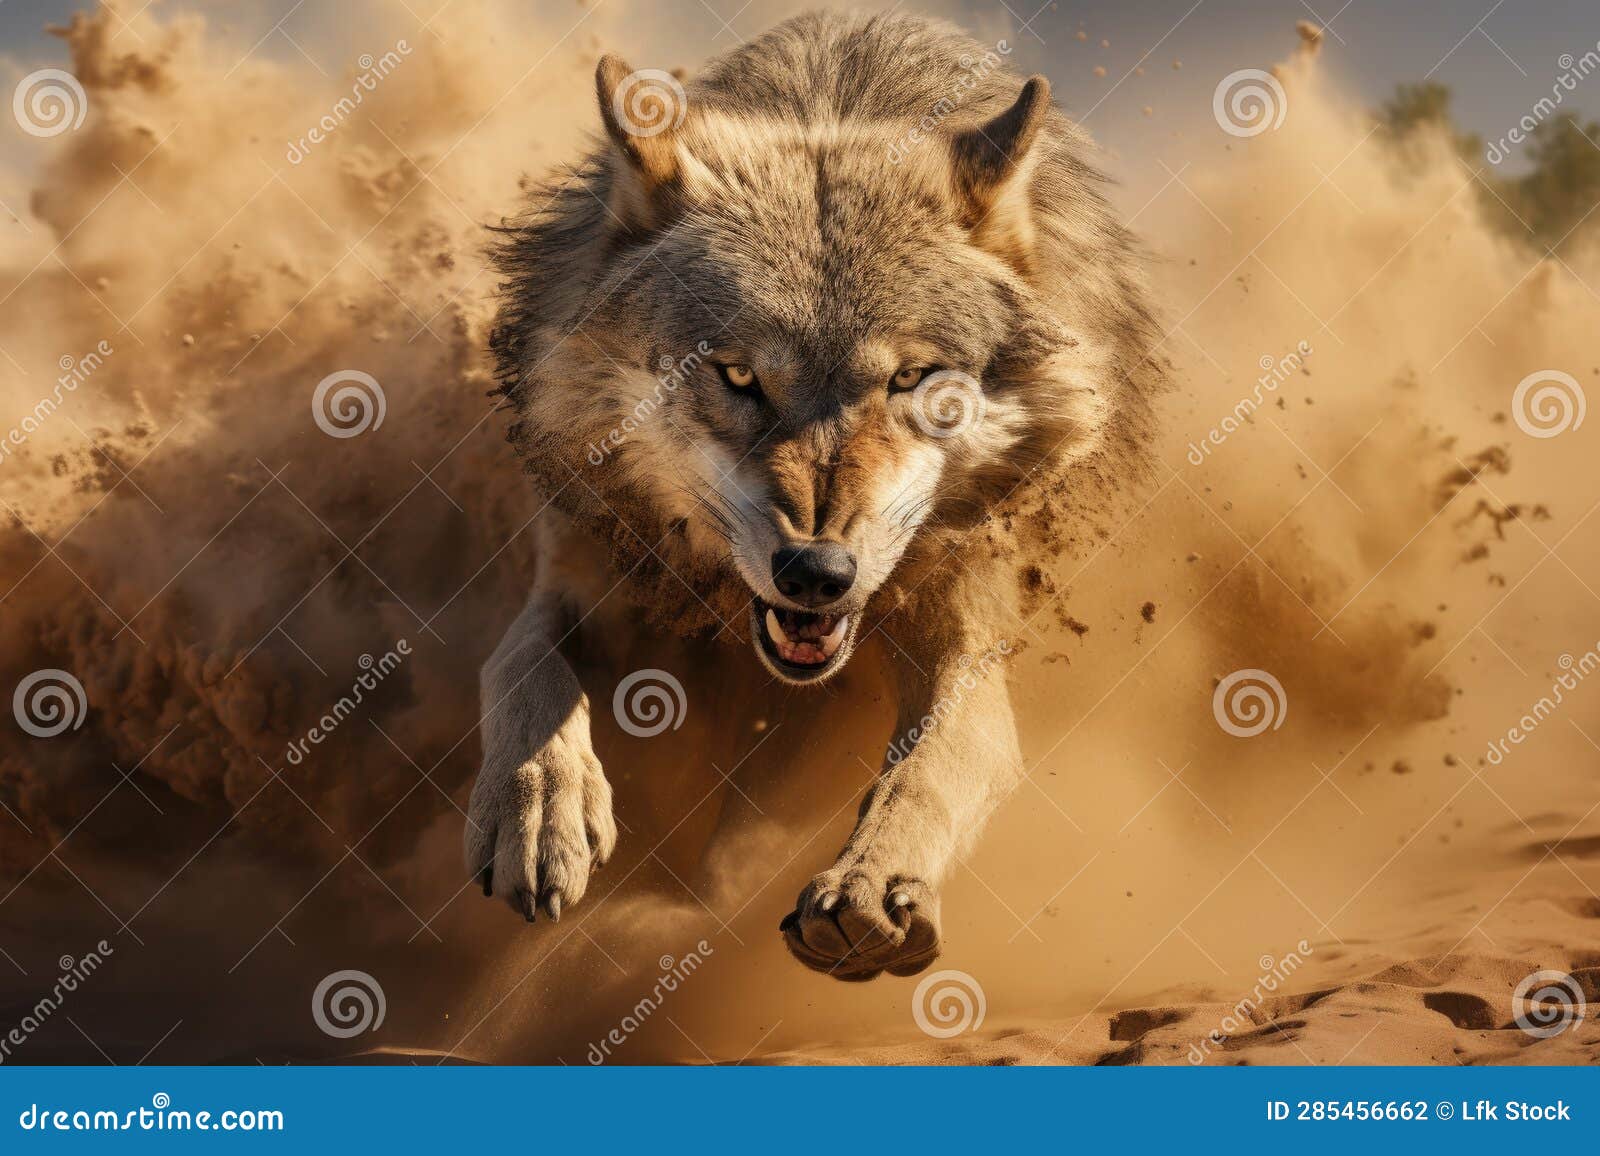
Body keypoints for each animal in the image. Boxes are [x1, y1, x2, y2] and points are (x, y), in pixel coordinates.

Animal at [469, 10, 1162, 981]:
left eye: (910, 379)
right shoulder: (579, 578)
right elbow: (520, 668)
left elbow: (926, 772)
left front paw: (869, 884)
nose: (816, 572)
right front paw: (538, 808)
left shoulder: (965, 641)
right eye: (737, 375)